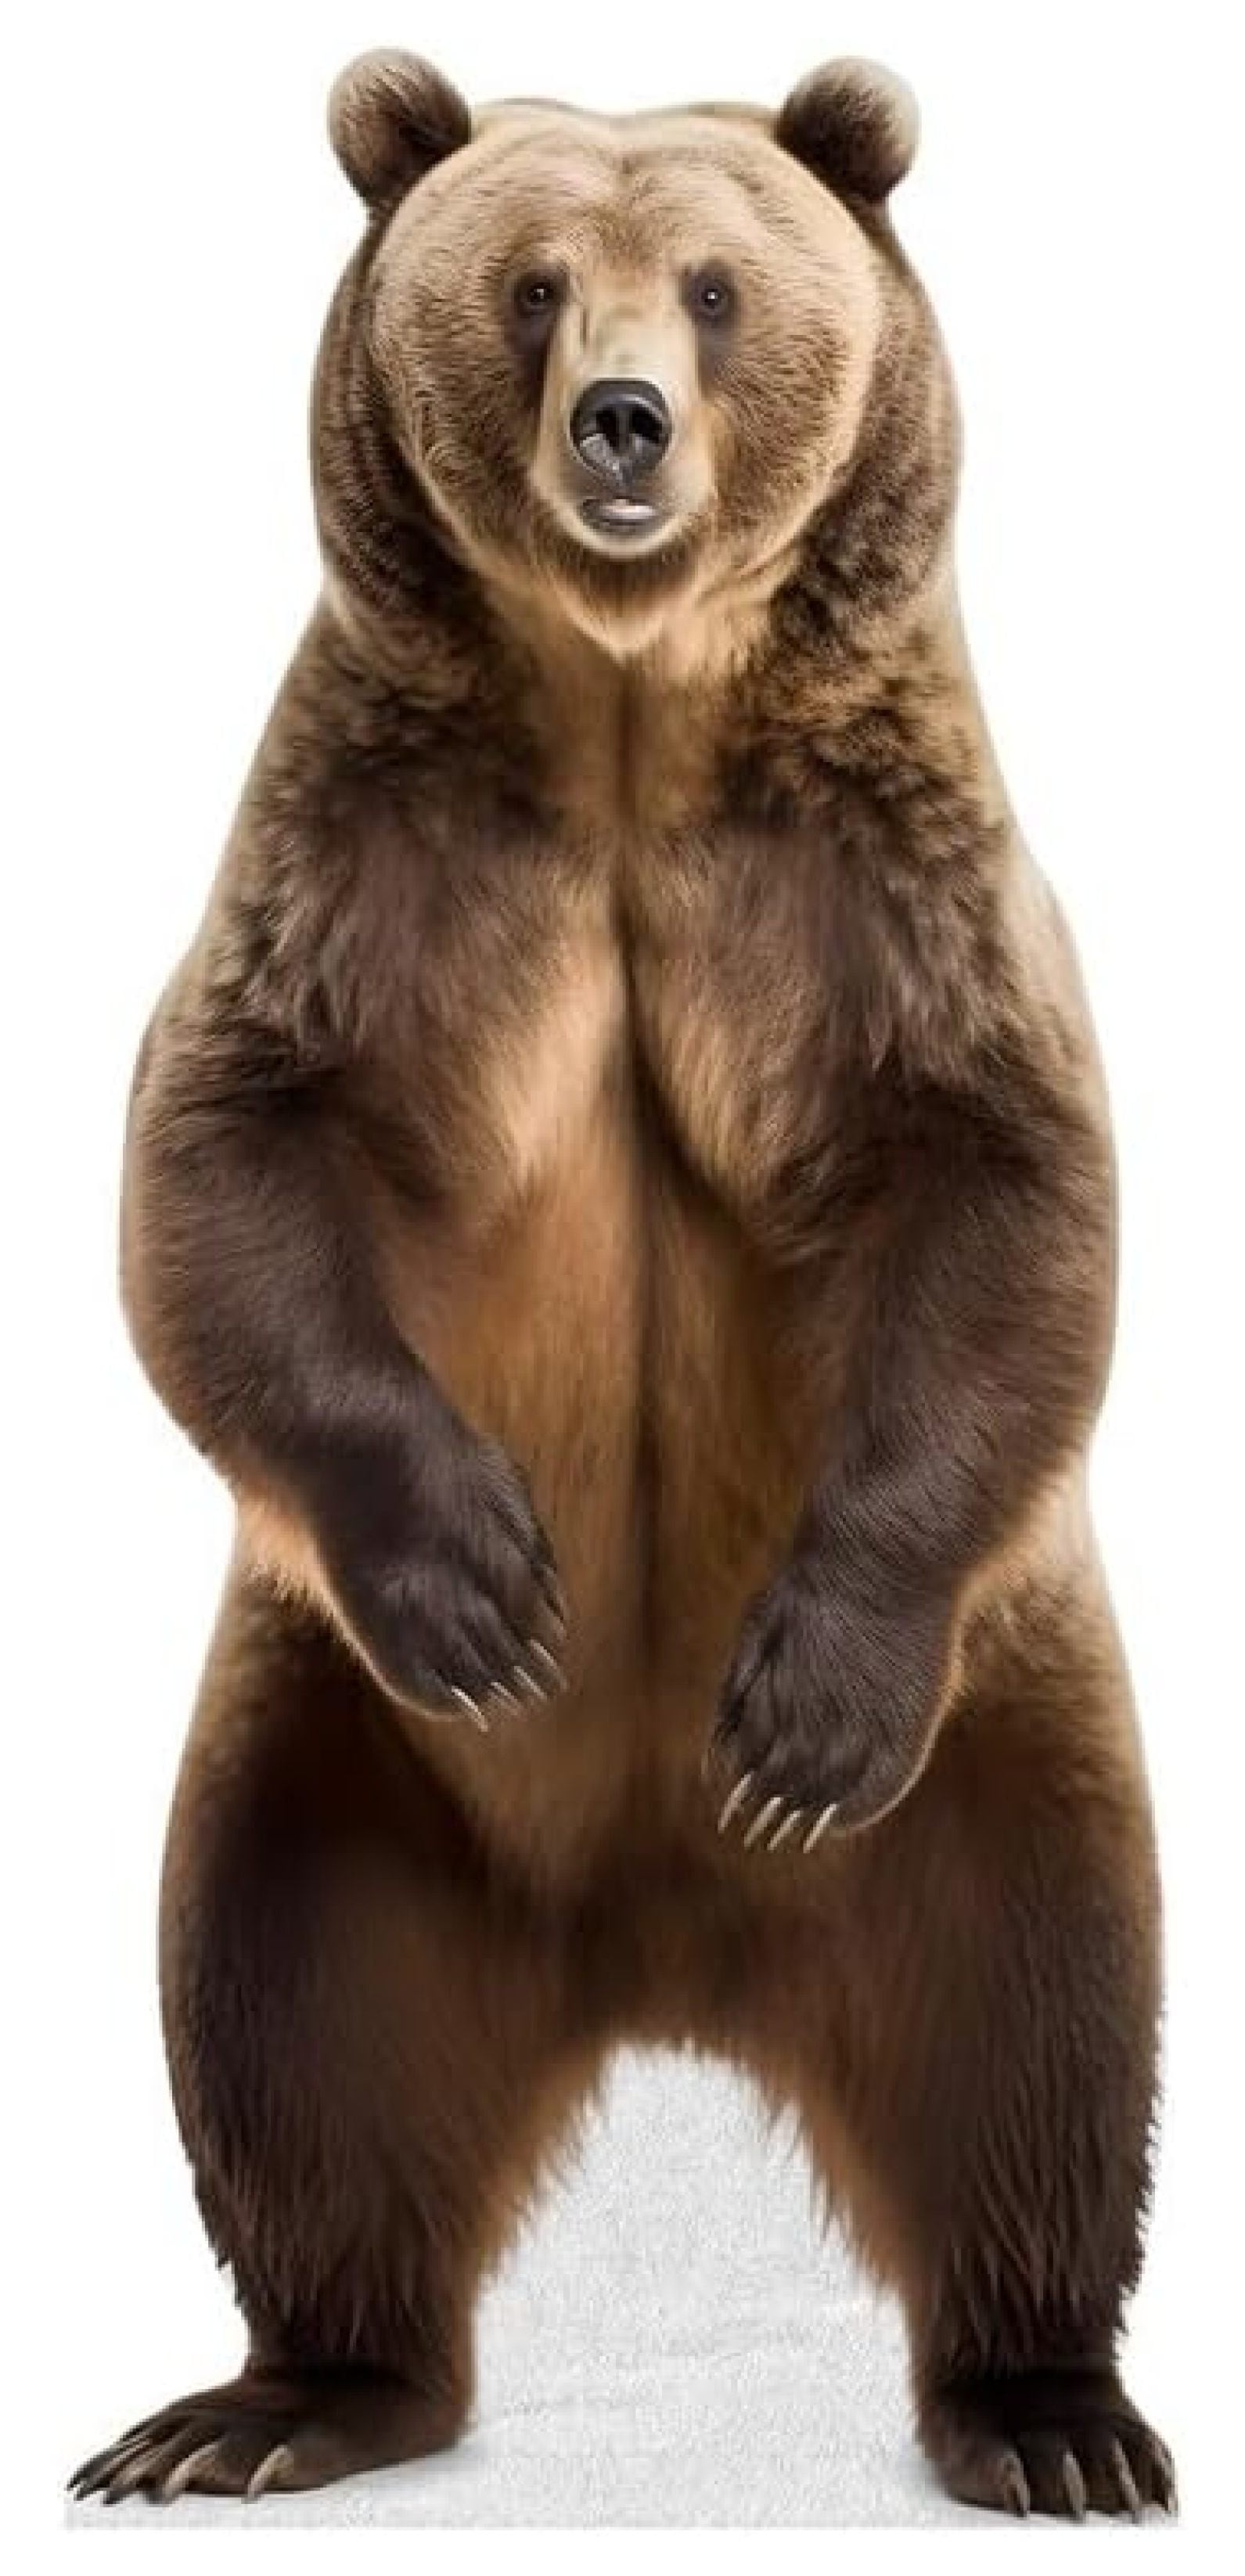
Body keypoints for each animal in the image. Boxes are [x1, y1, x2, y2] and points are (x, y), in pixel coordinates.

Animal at [70, 51, 1174, 2520]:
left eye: (717, 283)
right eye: (526, 283)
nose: (622, 420)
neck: (625, 714)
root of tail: (657, 1952)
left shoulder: (883, 892)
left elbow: (1002, 1194)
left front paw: (795, 1707)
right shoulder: (365, 862)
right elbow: (223, 1159)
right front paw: (487, 1582)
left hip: (995, 1745)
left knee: (1044, 2026)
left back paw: (1049, 2407)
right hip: (328, 1757)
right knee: (284, 2016)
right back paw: (269, 2398)